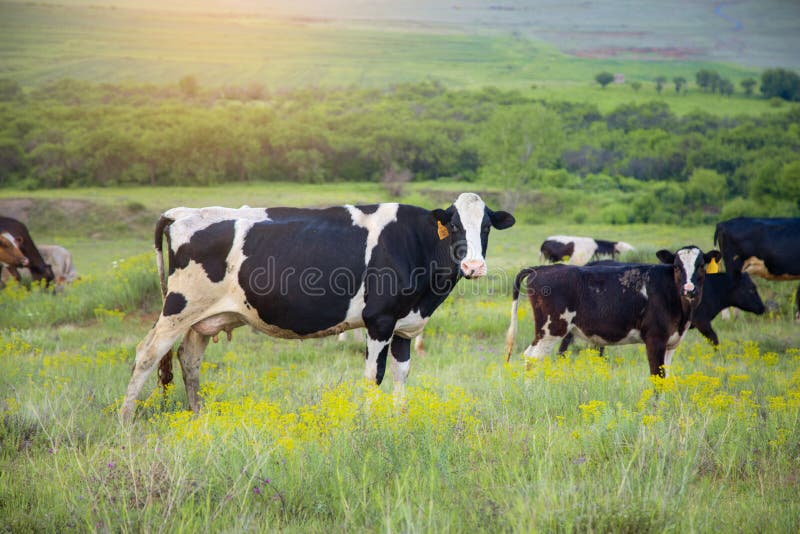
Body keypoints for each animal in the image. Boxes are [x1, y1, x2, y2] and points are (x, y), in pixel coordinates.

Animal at [121, 193, 515, 420]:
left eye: (485, 227)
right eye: (453, 225)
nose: (474, 266)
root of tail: (183, 212)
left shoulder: (406, 324)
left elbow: (401, 375)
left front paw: (400, 418)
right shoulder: (380, 320)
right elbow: (374, 376)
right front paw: (369, 422)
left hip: (204, 318)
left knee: (189, 358)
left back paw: (198, 417)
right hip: (178, 307)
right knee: (147, 354)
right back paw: (126, 421)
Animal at [504, 246, 721, 377]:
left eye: (701, 265)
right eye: (676, 266)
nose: (689, 289)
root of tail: (541, 269)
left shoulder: (671, 344)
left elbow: (665, 376)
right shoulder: (655, 340)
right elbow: (656, 377)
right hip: (551, 329)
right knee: (532, 357)